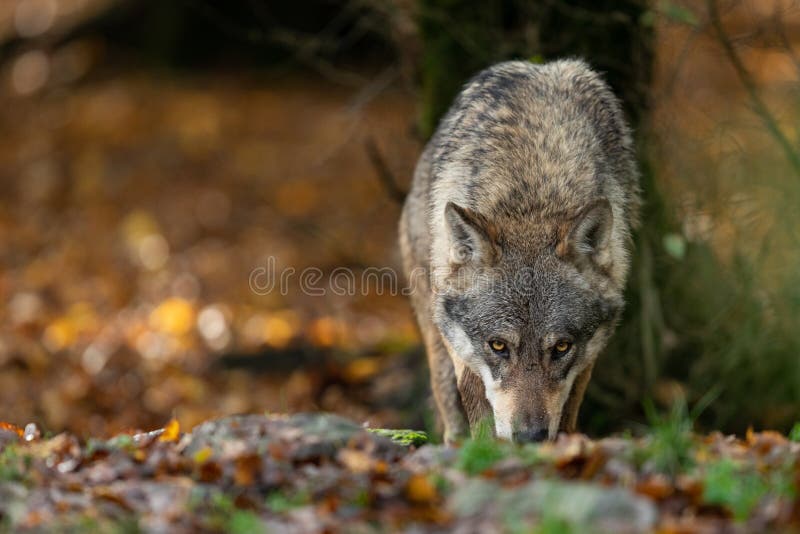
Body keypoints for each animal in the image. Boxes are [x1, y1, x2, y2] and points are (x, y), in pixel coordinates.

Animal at [399, 59, 639, 443]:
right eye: (498, 346)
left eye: (561, 347)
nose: (530, 437)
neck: (531, 198)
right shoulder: (459, 344)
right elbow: (474, 399)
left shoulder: (589, 350)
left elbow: (569, 404)